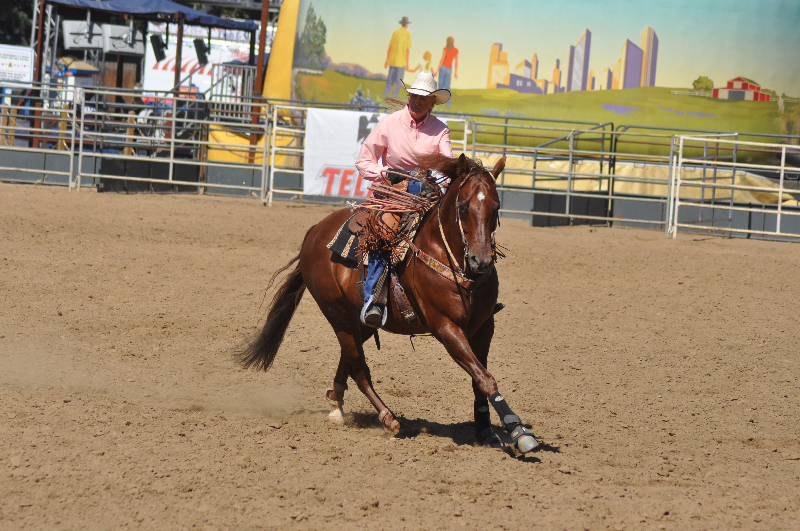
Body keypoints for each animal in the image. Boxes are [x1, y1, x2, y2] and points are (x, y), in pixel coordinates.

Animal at [239, 153, 540, 454]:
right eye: (463, 207)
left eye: (496, 207)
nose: (482, 260)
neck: (449, 257)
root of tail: (315, 232)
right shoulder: (447, 328)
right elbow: (485, 378)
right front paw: (518, 431)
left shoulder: (483, 327)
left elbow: (480, 379)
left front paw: (486, 430)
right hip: (338, 315)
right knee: (359, 369)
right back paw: (389, 419)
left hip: (360, 322)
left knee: (349, 359)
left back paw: (336, 404)